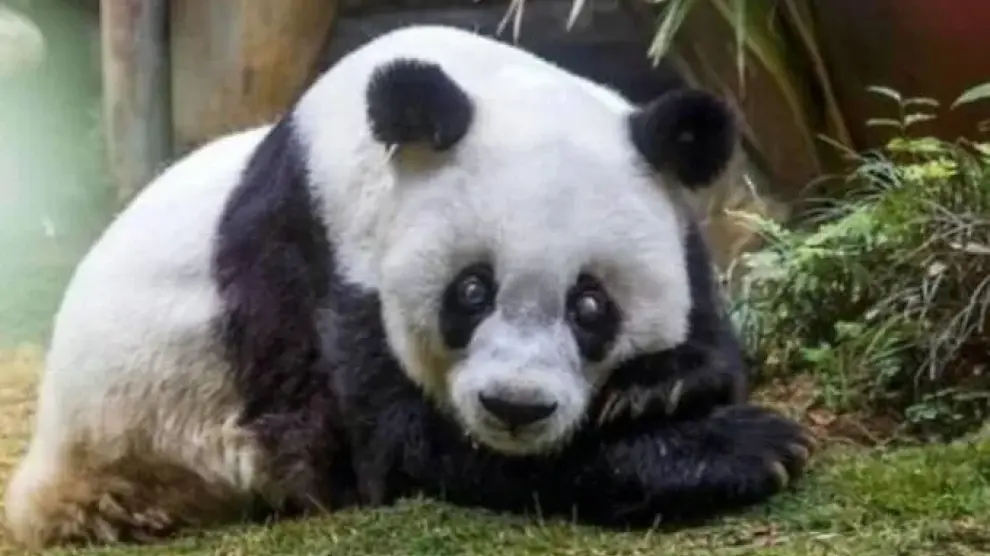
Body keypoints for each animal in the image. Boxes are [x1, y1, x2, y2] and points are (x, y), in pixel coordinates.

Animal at [3, 24, 814, 549]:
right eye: (471, 291)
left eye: (591, 305)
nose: (515, 408)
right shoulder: (322, 257)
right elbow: (401, 452)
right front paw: (742, 447)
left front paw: (658, 387)